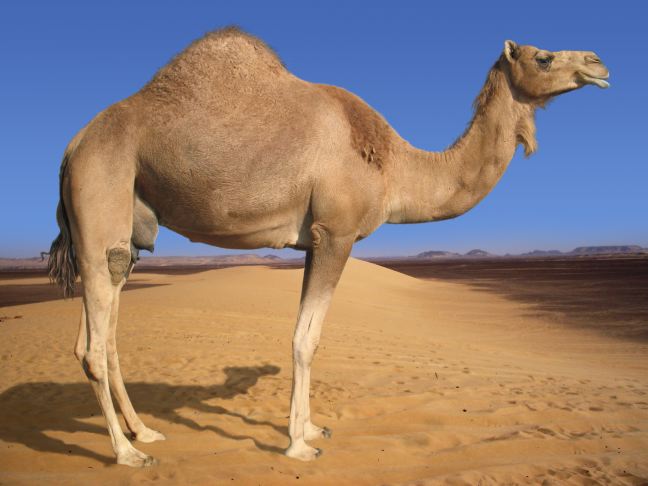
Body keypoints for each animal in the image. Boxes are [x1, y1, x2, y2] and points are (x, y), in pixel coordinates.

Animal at [48, 27, 609, 466]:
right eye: (544, 56)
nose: (599, 64)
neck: (396, 165)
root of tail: (72, 148)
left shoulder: (312, 241)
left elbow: (308, 335)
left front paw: (312, 427)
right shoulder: (335, 233)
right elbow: (306, 339)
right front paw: (299, 445)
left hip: (127, 229)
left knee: (102, 331)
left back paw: (144, 431)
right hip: (101, 194)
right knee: (94, 344)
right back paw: (127, 453)